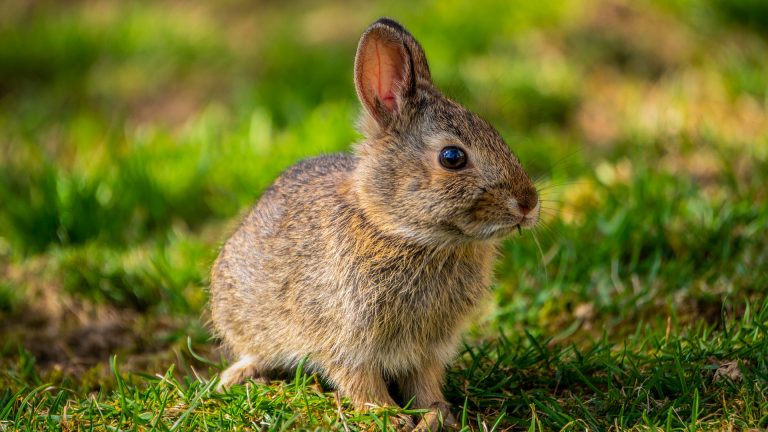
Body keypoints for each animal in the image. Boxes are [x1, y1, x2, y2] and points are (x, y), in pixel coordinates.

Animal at [210, 17, 539, 431]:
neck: (399, 231)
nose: (529, 204)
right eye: (452, 157)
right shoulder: (345, 339)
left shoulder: (427, 349)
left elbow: (425, 382)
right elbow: (359, 380)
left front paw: (437, 414)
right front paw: (387, 415)